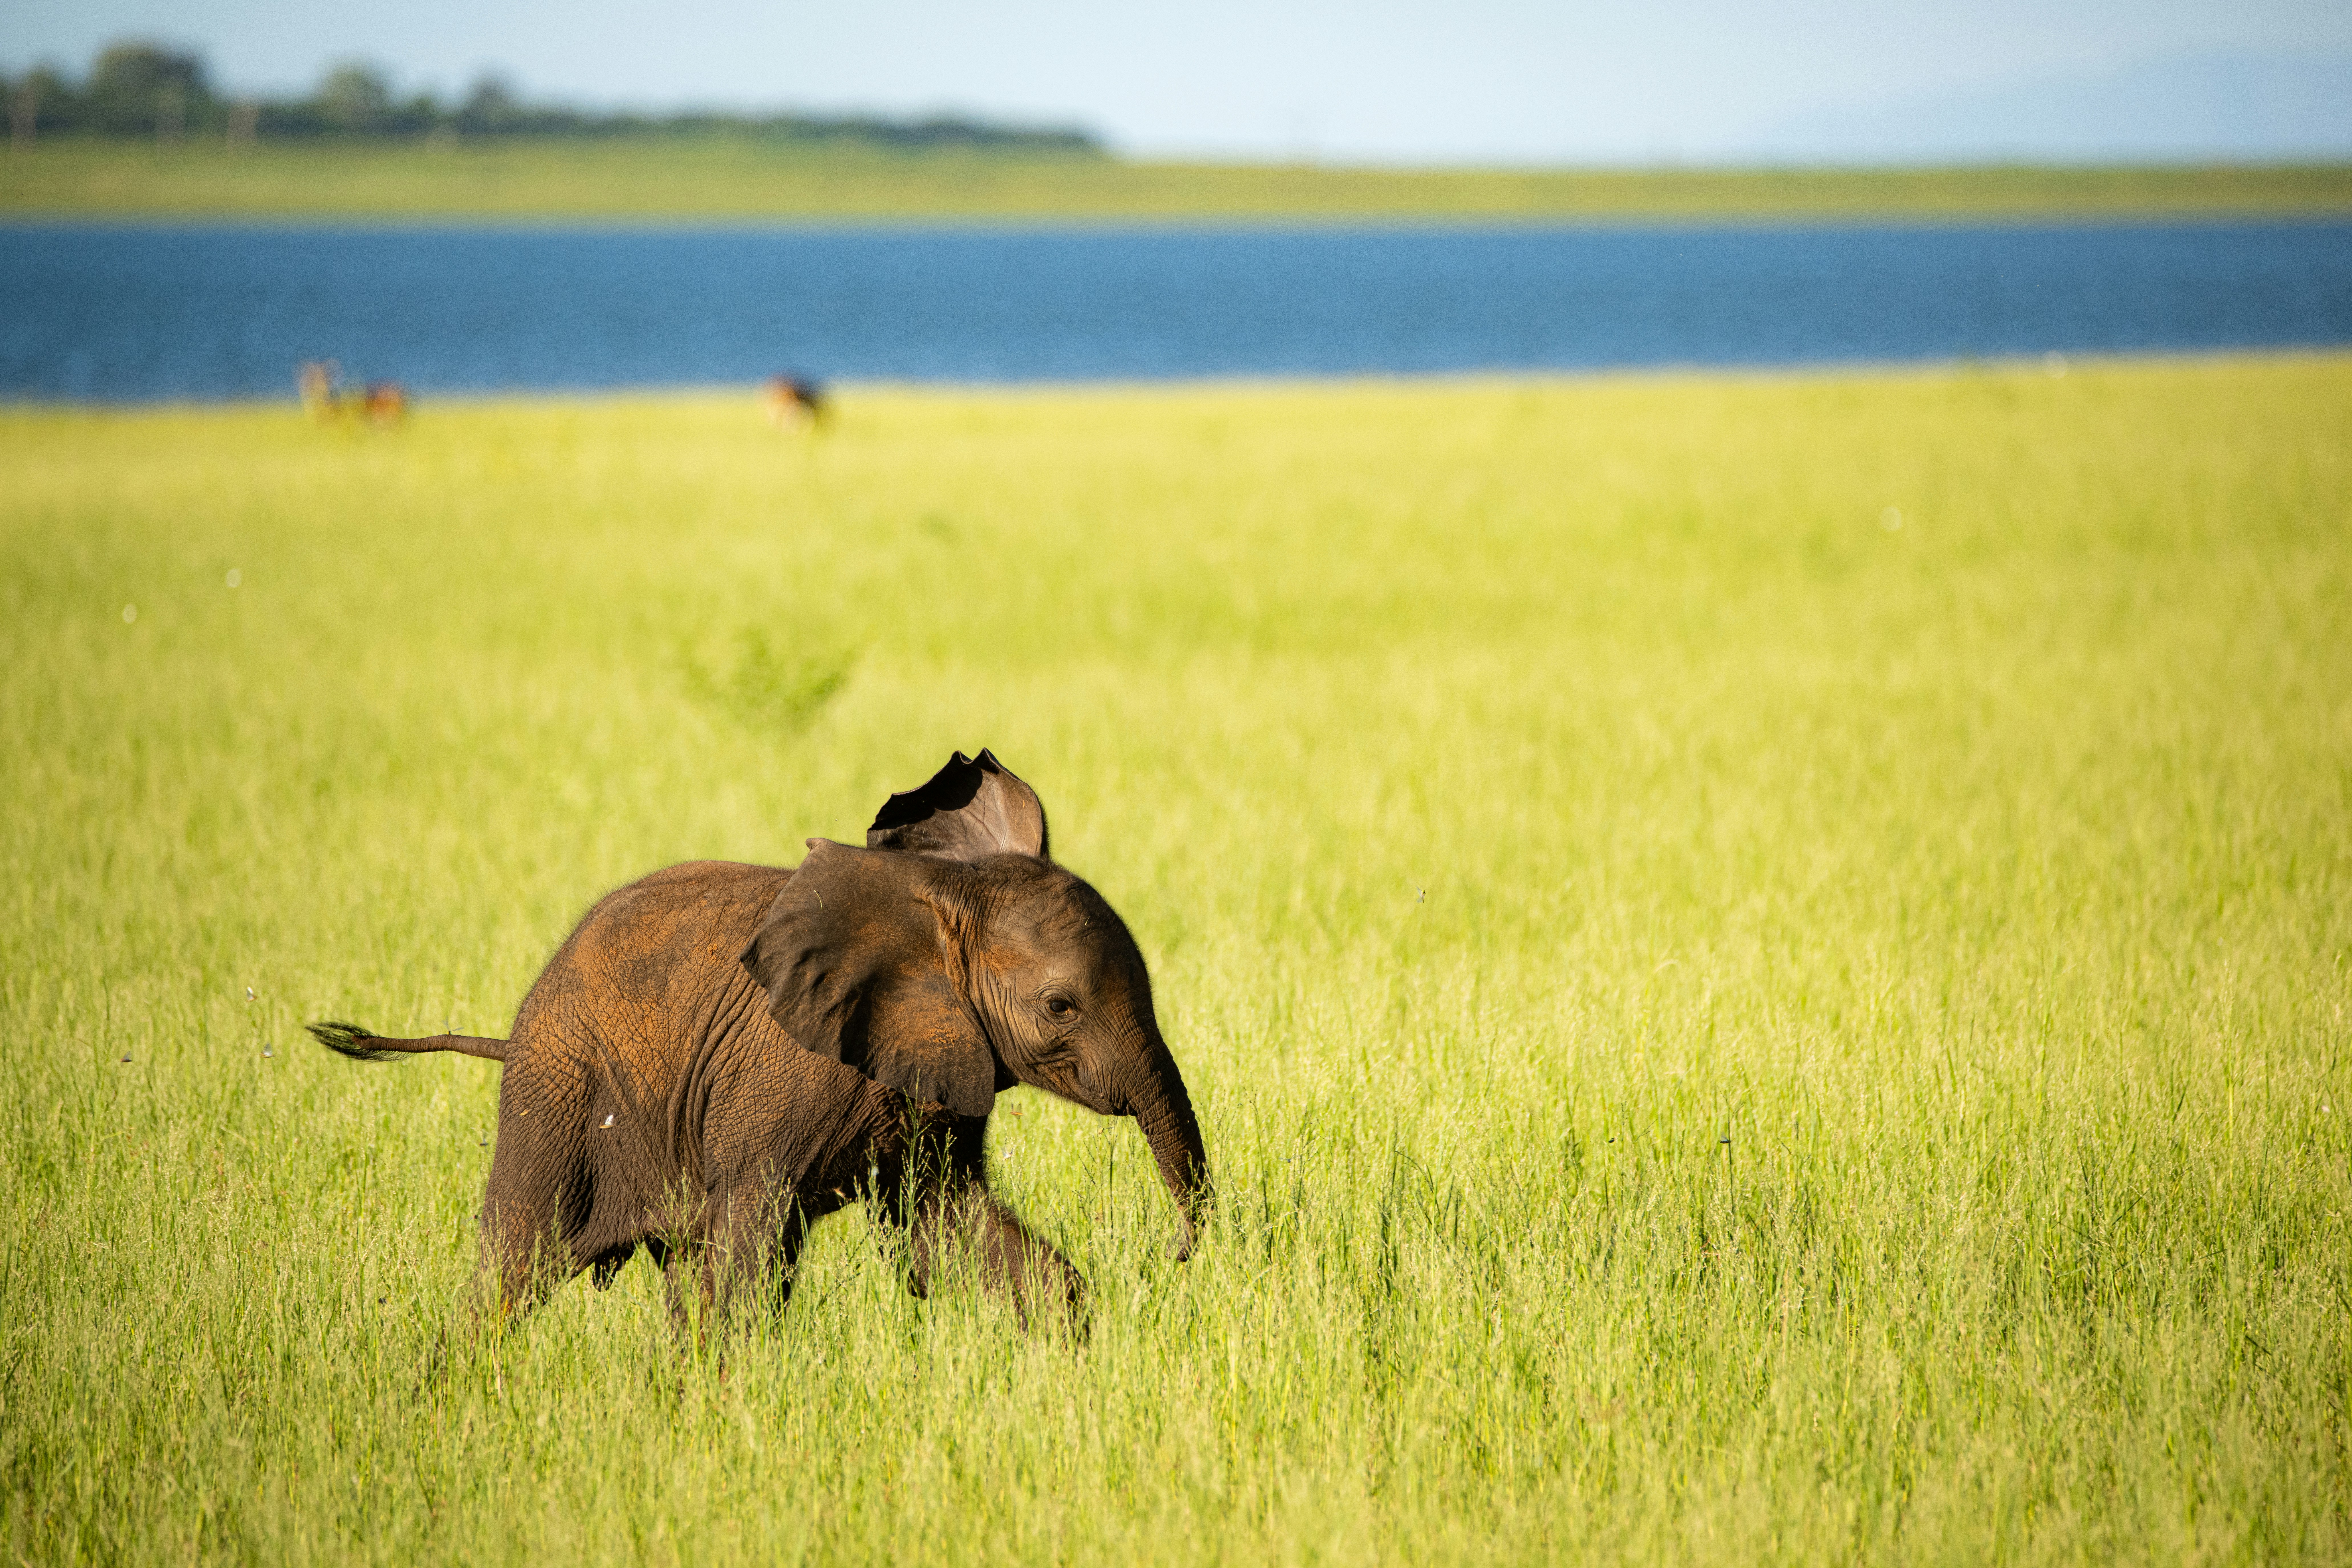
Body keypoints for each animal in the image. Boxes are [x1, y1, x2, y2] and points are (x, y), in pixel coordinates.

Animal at [310, 750, 1210, 1335]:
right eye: (1060, 1005)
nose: (1176, 1254)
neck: (935, 905)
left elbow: (946, 1225)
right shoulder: (785, 1074)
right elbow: (750, 1252)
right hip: (556, 1089)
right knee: (514, 1270)